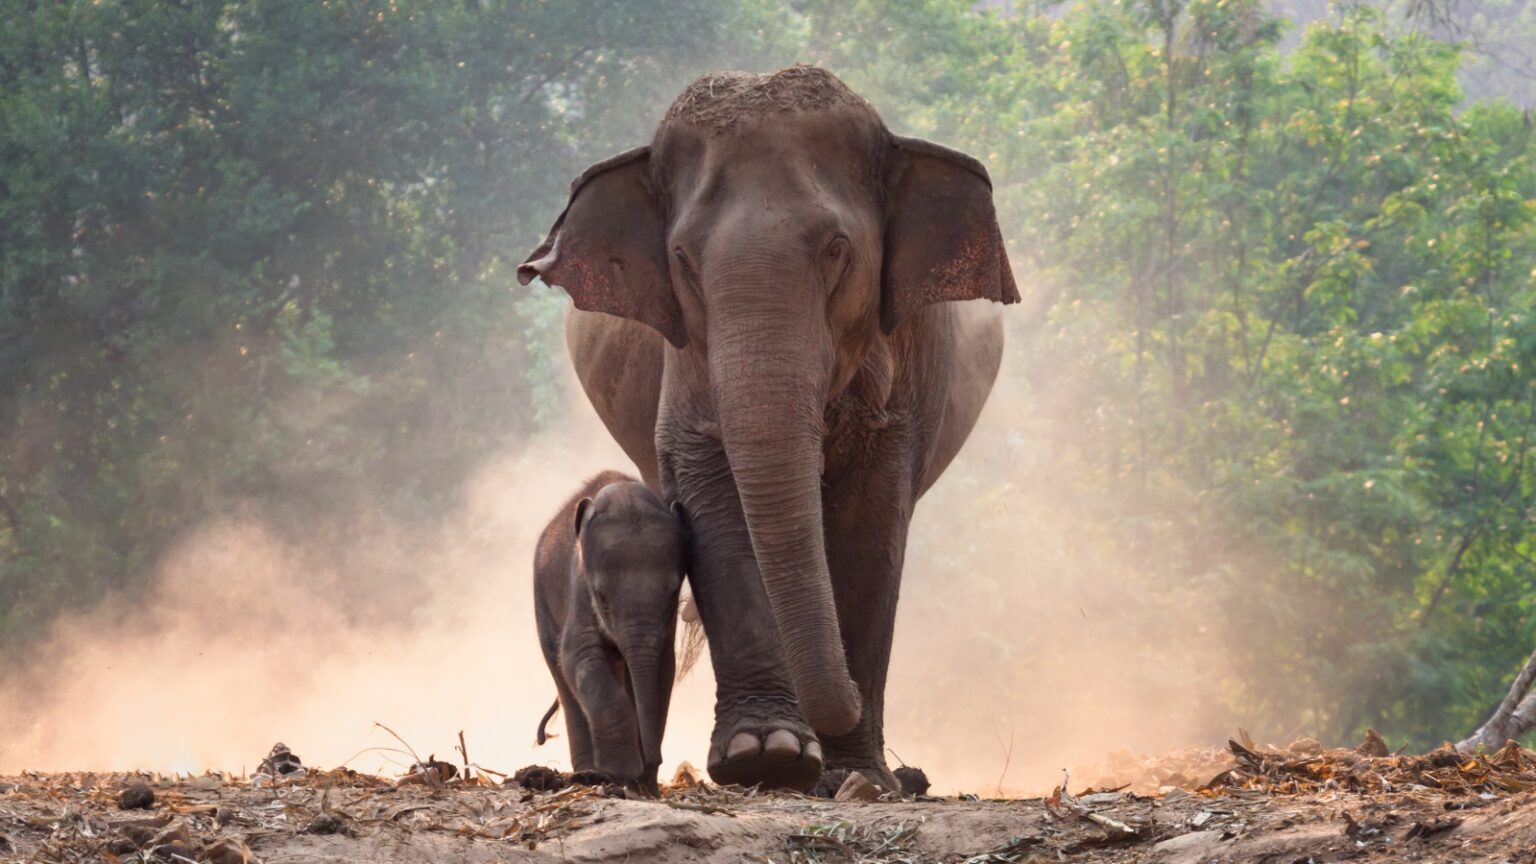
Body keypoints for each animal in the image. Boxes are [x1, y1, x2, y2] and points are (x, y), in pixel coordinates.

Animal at [532, 470, 688, 795]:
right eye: (601, 597)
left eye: (672, 594)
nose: (653, 761)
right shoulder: (578, 590)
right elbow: (580, 659)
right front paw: (621, 772)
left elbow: (663, 670)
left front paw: (640, 783)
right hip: (541, 602)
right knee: (562, 676)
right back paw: (586, 773)